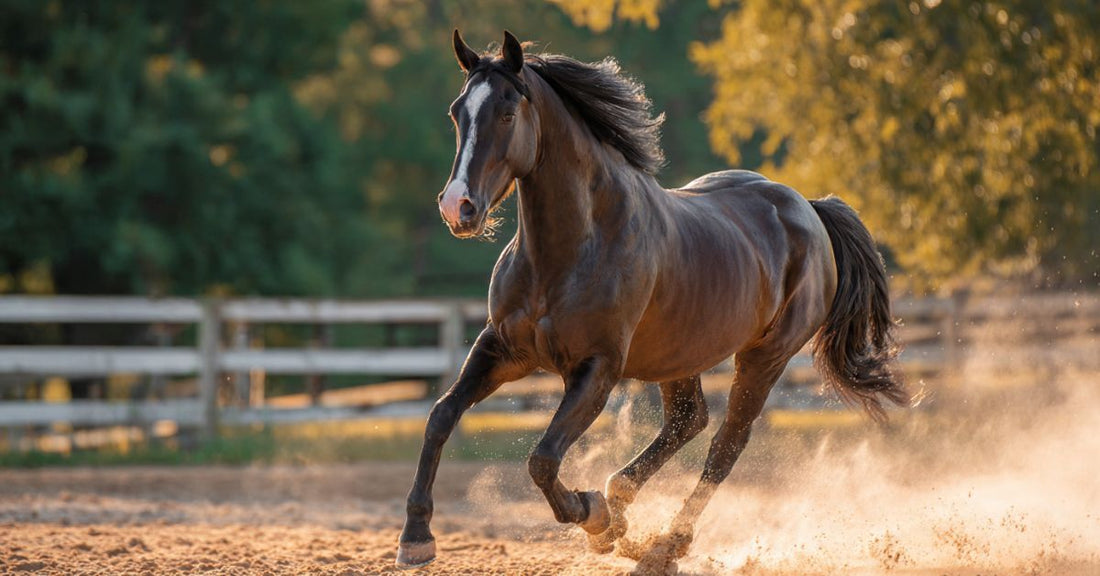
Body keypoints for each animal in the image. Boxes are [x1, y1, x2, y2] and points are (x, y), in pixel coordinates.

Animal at [396, 30, 910, 573]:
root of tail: (808, 209)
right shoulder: (502, 350)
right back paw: (622, 506)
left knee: (726, 443)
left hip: (765, 357)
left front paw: (592, 516)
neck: (572, 249)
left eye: (507, 113)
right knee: (688, 421)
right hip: (678, 355)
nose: (458, 207)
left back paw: (663, 543)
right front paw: (415, 537)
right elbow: (440, 417)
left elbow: (543, 459)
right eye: (458, 112)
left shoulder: (597, 368)